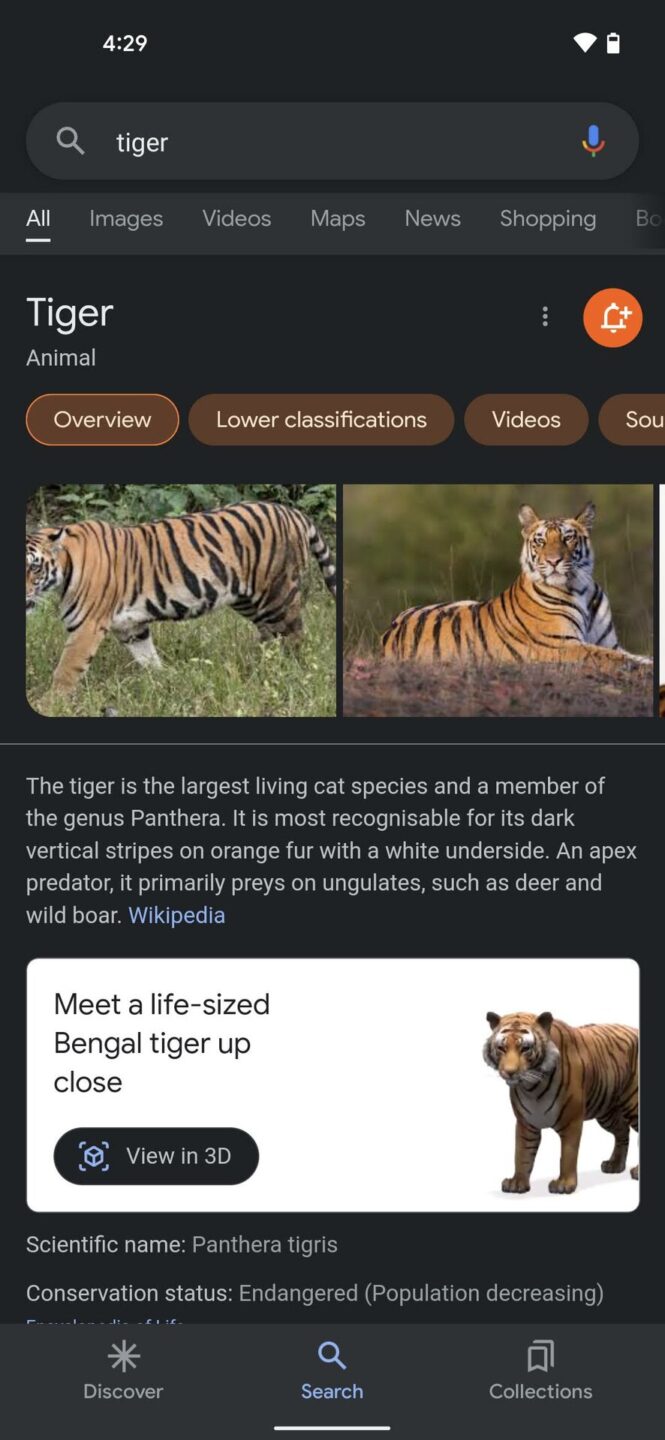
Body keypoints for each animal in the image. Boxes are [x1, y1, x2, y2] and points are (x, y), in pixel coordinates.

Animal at [26, 501, 336, 693]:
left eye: (33, 566)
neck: (65, 567)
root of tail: (293, 513)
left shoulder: (87, 626)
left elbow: (66, 670)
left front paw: (51, 704)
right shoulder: (131, 627)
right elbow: (148, 657)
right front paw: (164, 680)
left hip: (277, 594)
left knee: (295, 636)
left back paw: (292, 673)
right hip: (249, 600)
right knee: (271, 635)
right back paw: (260, 664)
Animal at [382, 501, 649, 673]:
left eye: (568, 538)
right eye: (540, 540)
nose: (553, 561)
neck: (580, 588)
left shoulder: (609, 642)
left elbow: (627, 653)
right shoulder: (559, 644)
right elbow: (607, 656)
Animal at [483, 1010, 639, 1195]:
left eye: (525, 1048)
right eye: (501, 1048)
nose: (509, 1072)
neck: (532, 1088)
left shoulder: (572, 1121)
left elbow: (568, 1154)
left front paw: (564, 1185)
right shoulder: (525, 1123)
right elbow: (522, 1154)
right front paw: (517, 1183)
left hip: (633, 1103)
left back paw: (637, 1171)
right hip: (606, 1112)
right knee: (623, 1131)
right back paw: (614, 1165)